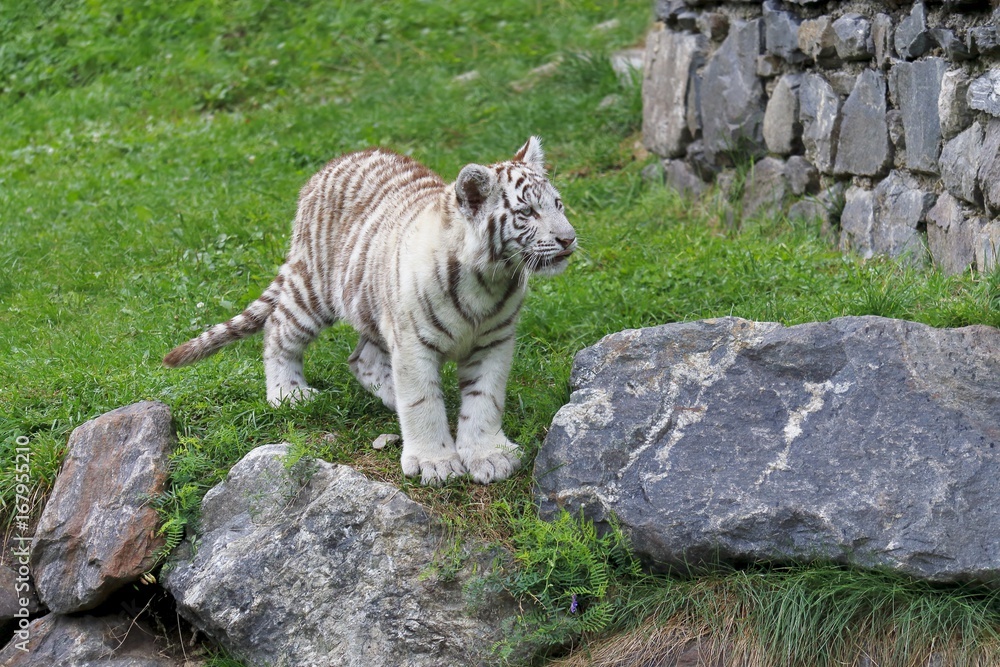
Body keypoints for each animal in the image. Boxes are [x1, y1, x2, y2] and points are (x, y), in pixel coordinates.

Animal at [163, 137, 576, 486]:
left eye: (557, 205)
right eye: (527, 212)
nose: (568, 239)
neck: (491, 278)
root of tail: (331, 164)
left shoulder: (494, 342)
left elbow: (484, 399)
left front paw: (488, 455)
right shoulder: (413, 343)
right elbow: (422, 401)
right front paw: (435, 462)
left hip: (373, 308)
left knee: (361, 359)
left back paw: (392, 397)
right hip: (314, 291)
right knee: (278, 329)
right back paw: (288, 392)